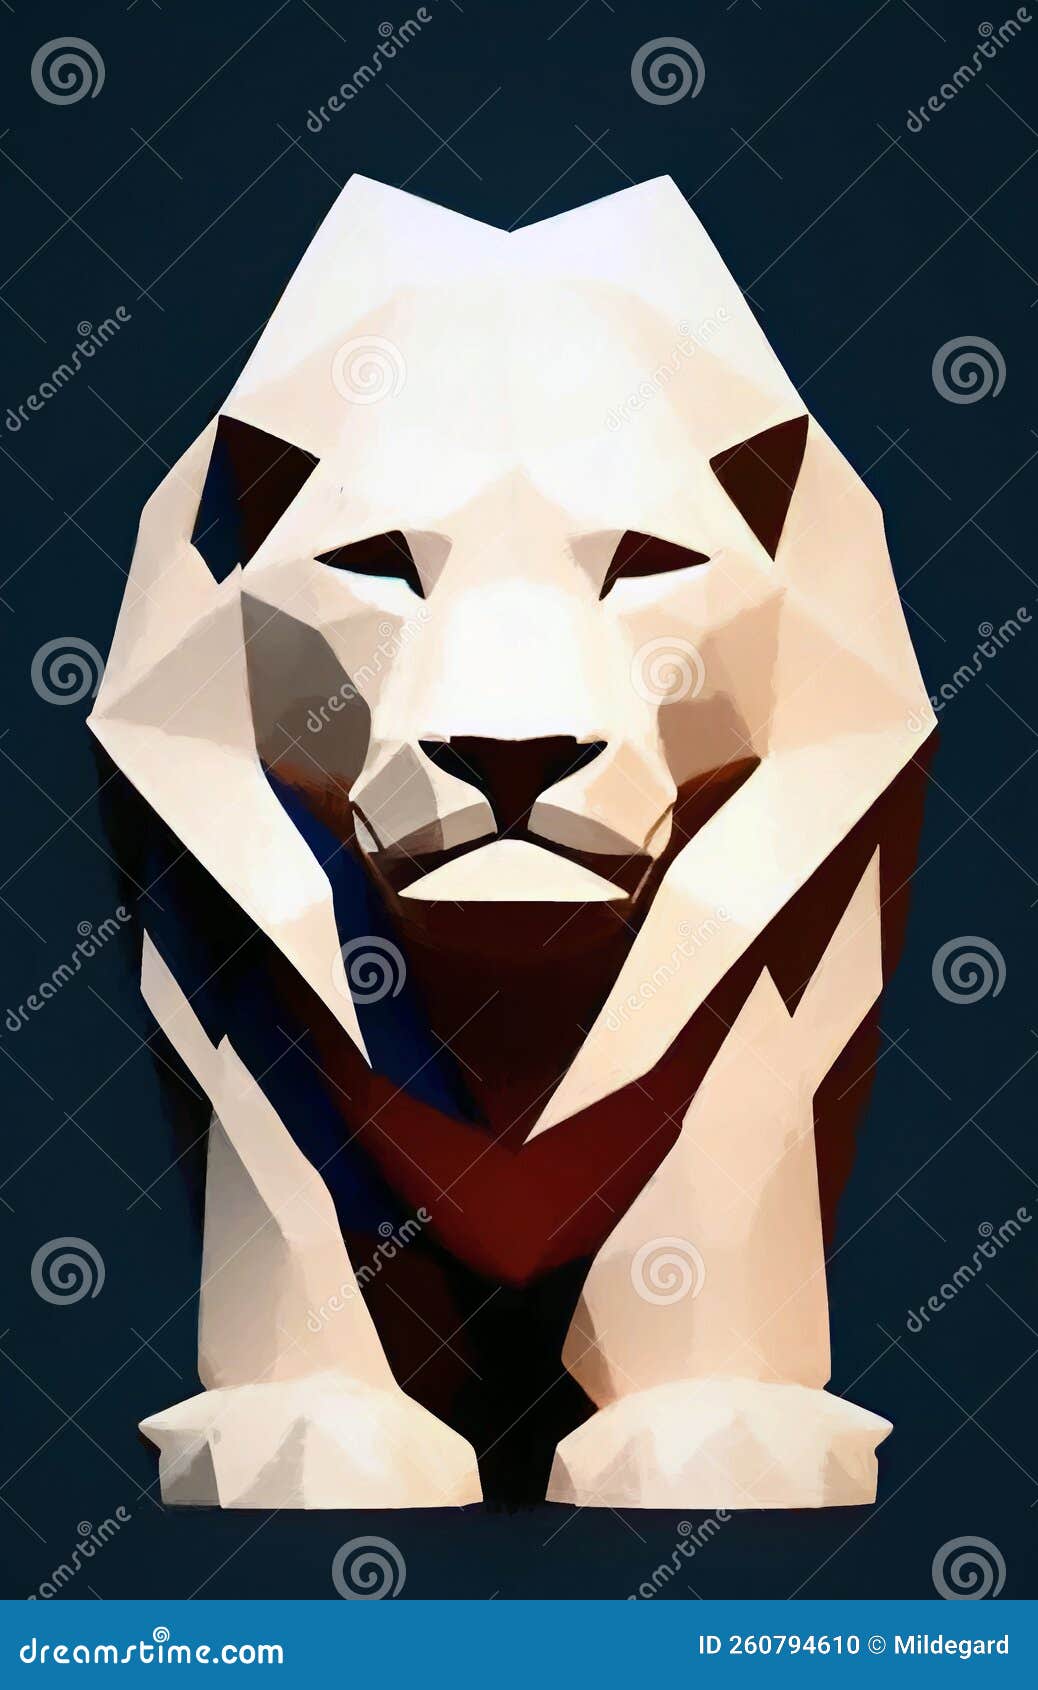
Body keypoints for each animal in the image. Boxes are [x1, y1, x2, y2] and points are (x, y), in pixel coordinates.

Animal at [90, 175, 935, 1510]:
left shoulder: (786, 926)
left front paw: (724, 1428)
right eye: (378, 564)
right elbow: (291, 1186)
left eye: (647, 564)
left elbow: (712, 1163)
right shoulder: (225, 922)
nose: (514, 752)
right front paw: (304, 1429)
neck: (508, 990)